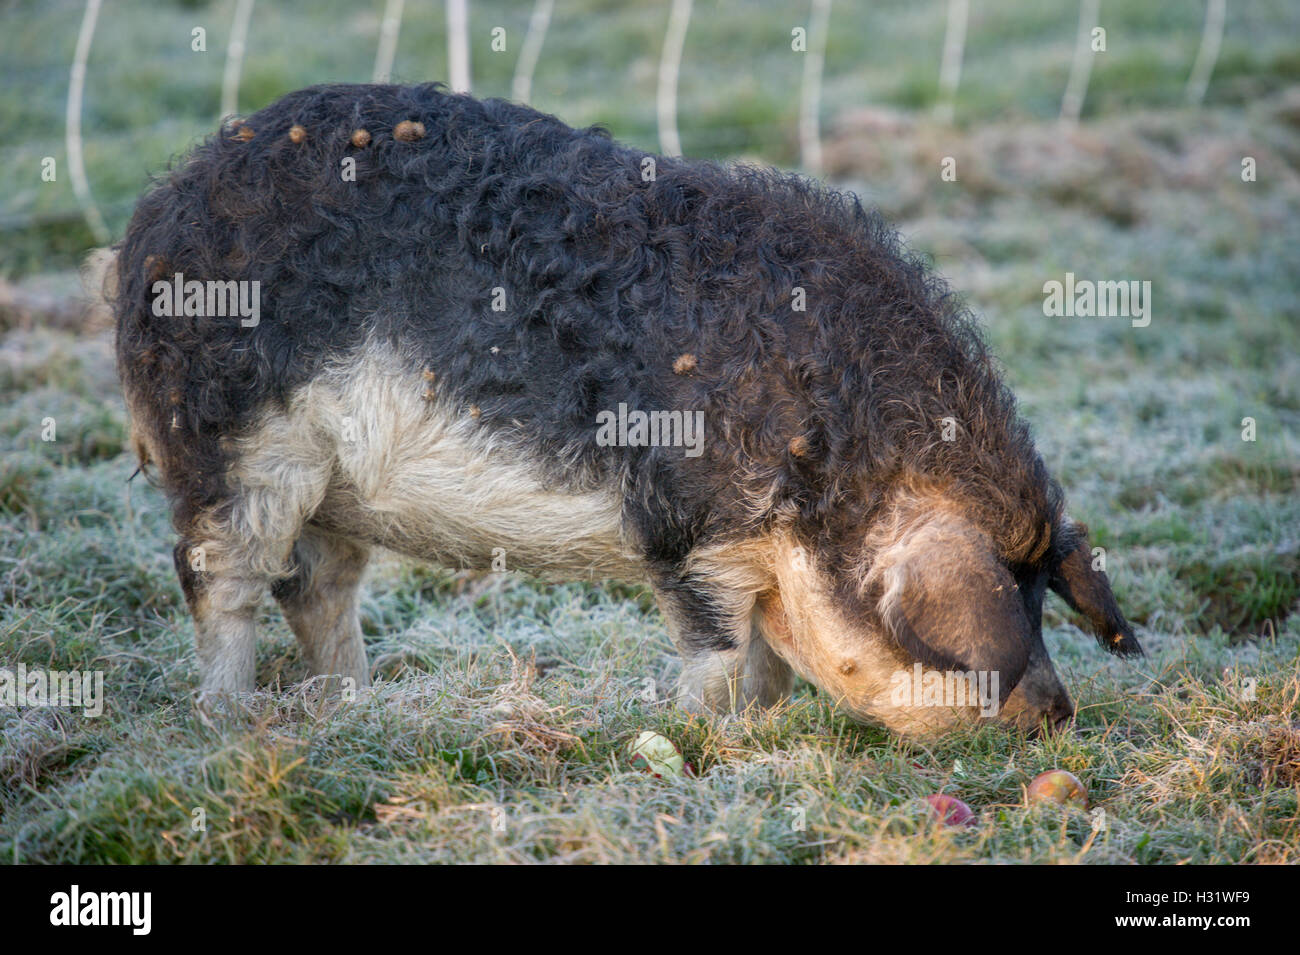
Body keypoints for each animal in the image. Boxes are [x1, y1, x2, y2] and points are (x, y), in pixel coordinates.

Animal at [112, 82, 1142, 735]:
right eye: (1004, 607)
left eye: (1046, 595)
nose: (1058, 714)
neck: (838, 463)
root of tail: (152, 219)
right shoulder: (688, 527)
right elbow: (717, 652)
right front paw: (700, 735)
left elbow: (766, 659)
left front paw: (763, 726)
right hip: (235, 442)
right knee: (222, 576)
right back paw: (233, 721)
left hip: (330, 488)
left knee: (316, 583)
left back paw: (355, 707)